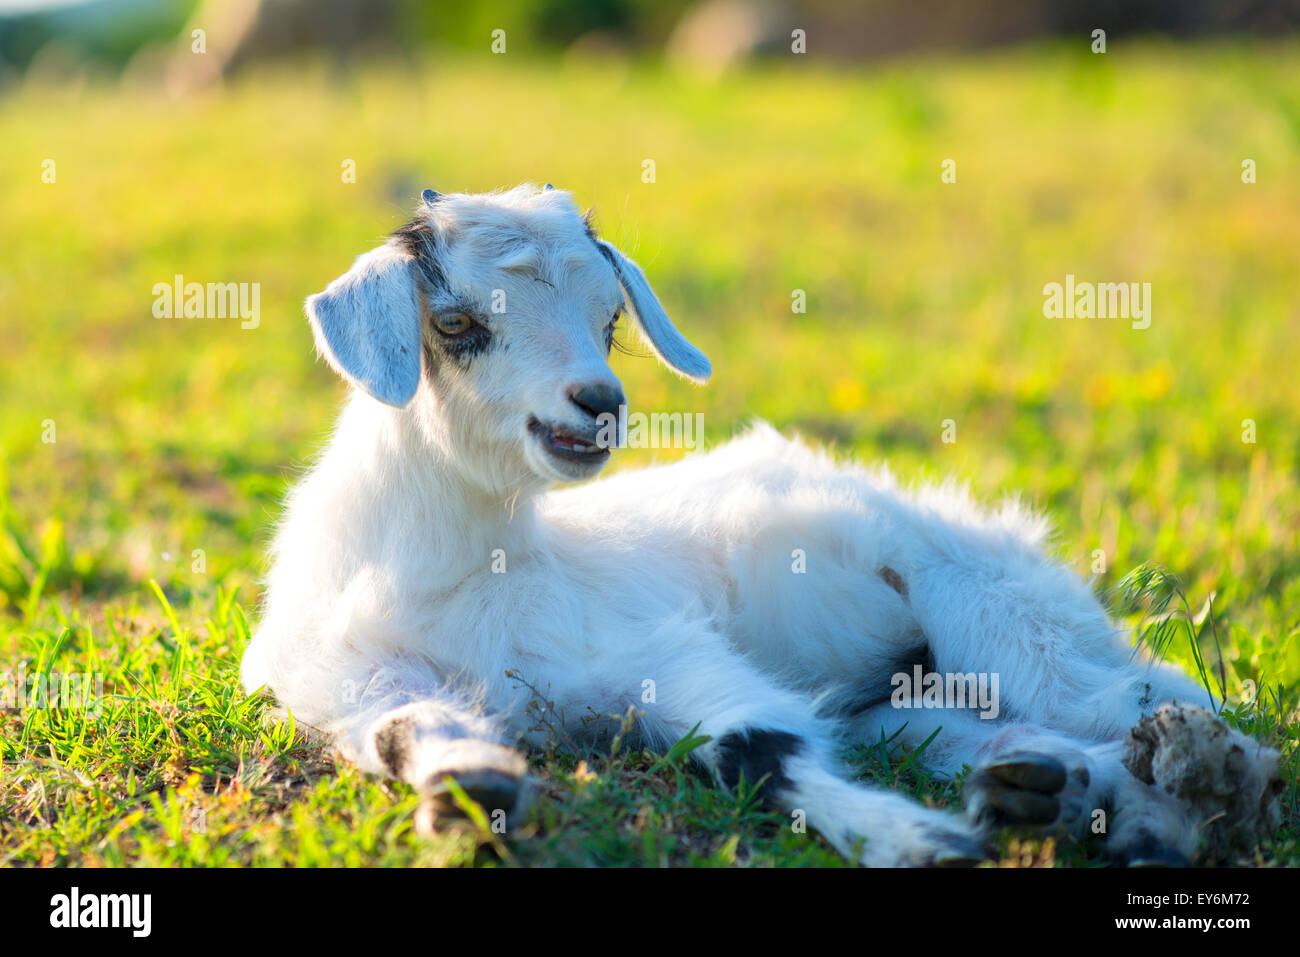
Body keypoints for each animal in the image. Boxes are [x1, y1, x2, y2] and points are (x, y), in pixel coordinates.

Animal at [241, 183, 1283, 866]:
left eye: (610, 320)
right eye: (454, 323)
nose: (598, 404)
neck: (449, 579)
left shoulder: (660, 650)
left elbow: (754, 743)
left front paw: (913, 839)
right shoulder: (344, 684)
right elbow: (411, 734)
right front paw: (474, 790)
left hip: (1010, 621)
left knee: (1169, 707)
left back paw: (1184, 790)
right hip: (907, 706)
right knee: (999, 738)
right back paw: (1046, 793)